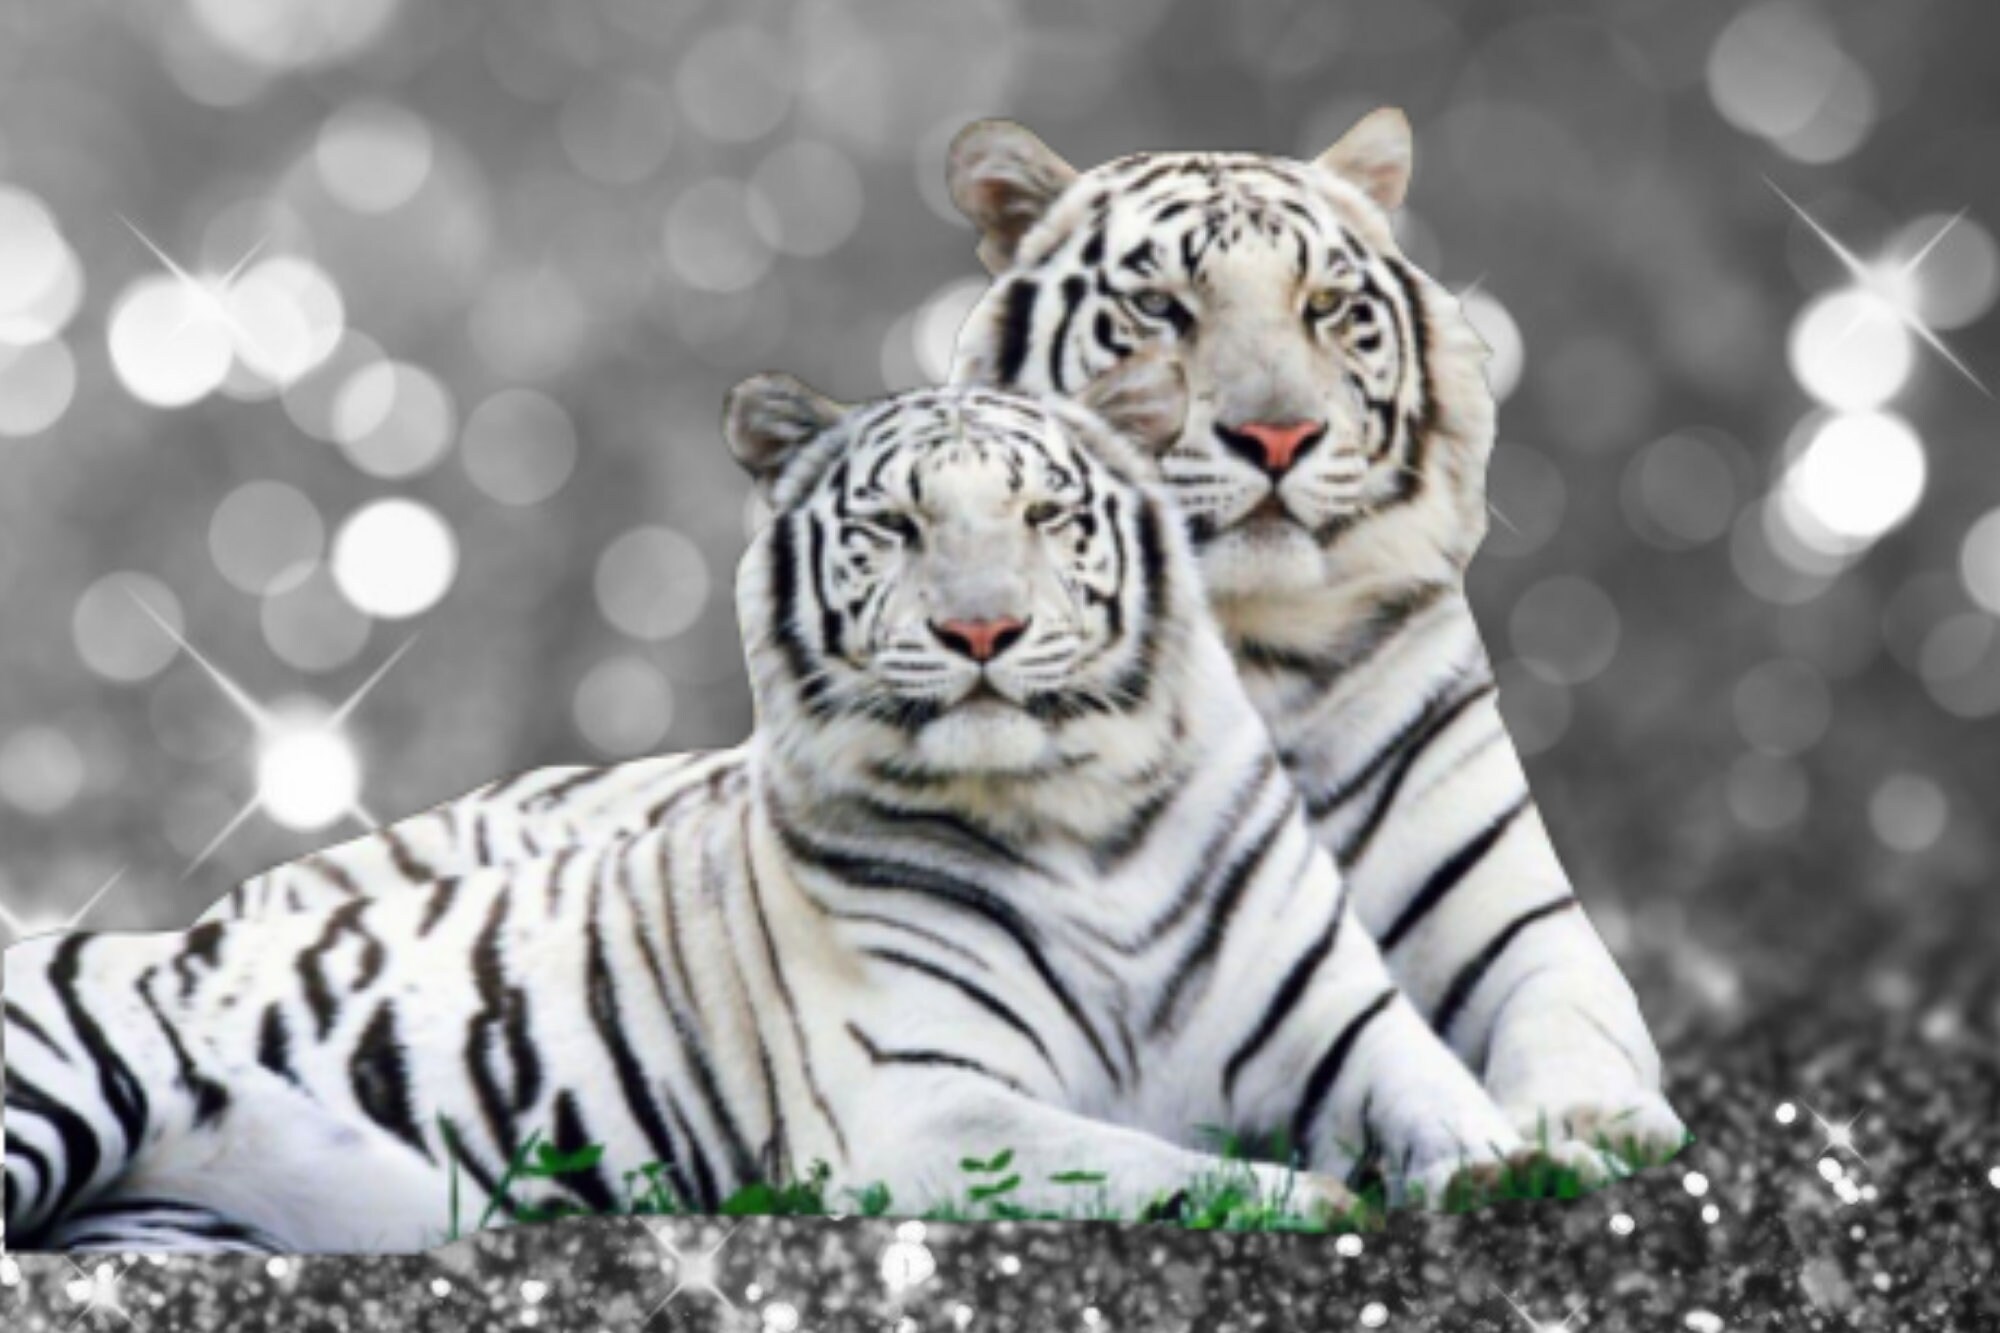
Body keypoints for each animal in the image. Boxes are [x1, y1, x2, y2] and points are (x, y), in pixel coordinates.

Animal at [4, 366, 1539, 1254]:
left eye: (1044, 518)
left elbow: (1439, 1095)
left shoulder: (1341, 1022)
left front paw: (1515, 1163)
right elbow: (1126, 1157)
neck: (1078, 821)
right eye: (897, 527)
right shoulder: (917, 1105)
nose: (982, 632)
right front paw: (1311, 1199)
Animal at [942, 108, 1688, 1163]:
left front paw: (1589, 1122)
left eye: (1326, 305)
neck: (1257, 643)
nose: (1279, 437)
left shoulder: (1521, 915)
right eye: (1162, 307)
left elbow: (1568, 1010)